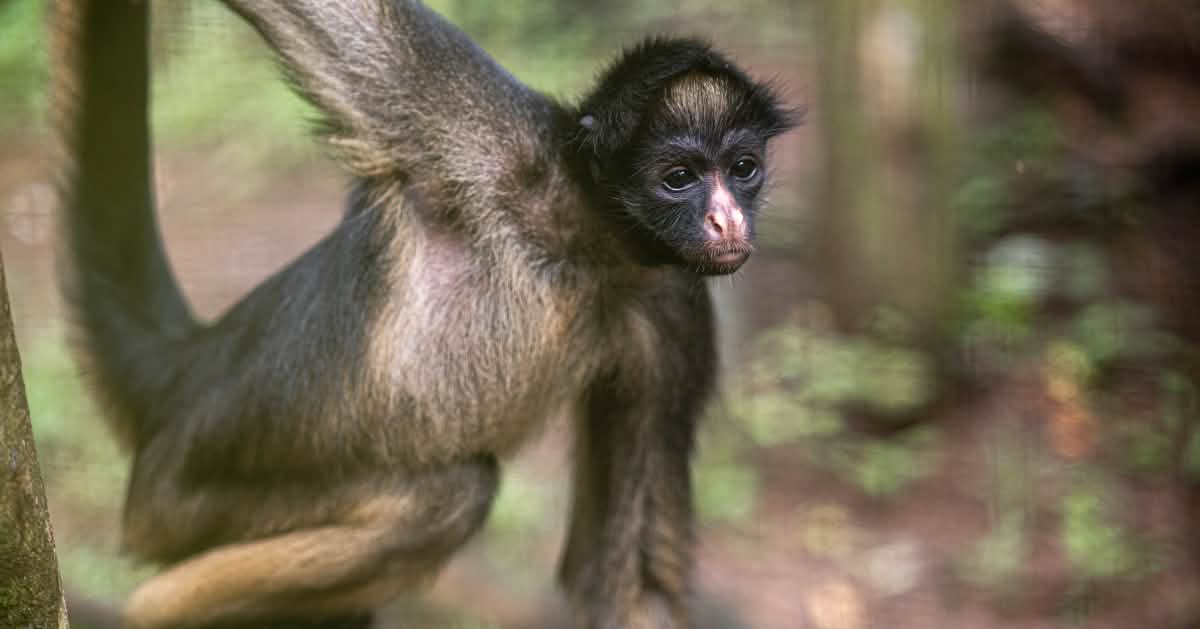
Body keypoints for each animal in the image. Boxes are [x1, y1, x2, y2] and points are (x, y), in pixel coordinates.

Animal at [51, 0, 796, 627]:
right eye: (679, 178)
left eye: (743, 167)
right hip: (183, 504)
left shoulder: (671, 301)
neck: (583, 237)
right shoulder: (481, 133)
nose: (727, 219)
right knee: (455, 491)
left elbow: (634, 582)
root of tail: (190, 368)